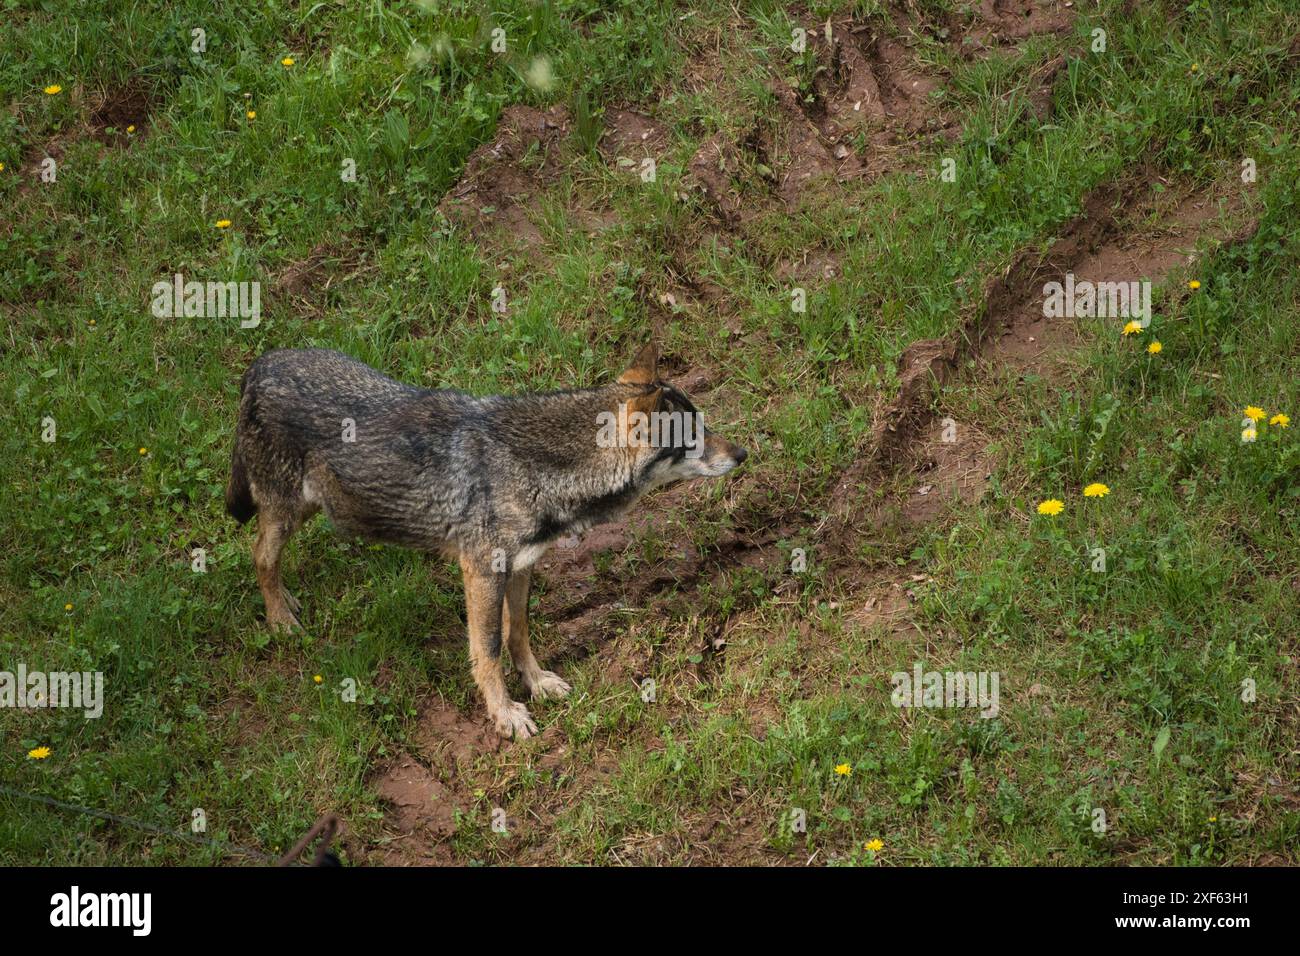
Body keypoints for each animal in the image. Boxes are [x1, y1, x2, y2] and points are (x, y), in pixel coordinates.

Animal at [225, 344, 747, 739]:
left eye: (703, 423)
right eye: (693, 437)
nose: (743, 453)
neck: (536, 469)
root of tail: (261, 364)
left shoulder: (522, 565)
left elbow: (519, 632)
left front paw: (536, 682)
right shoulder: (480, 572)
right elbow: (489, 650)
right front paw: (505, 715)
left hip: (307, 509)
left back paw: (287, 602)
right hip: (287, 511)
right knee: (260, 555)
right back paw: (281, 621)